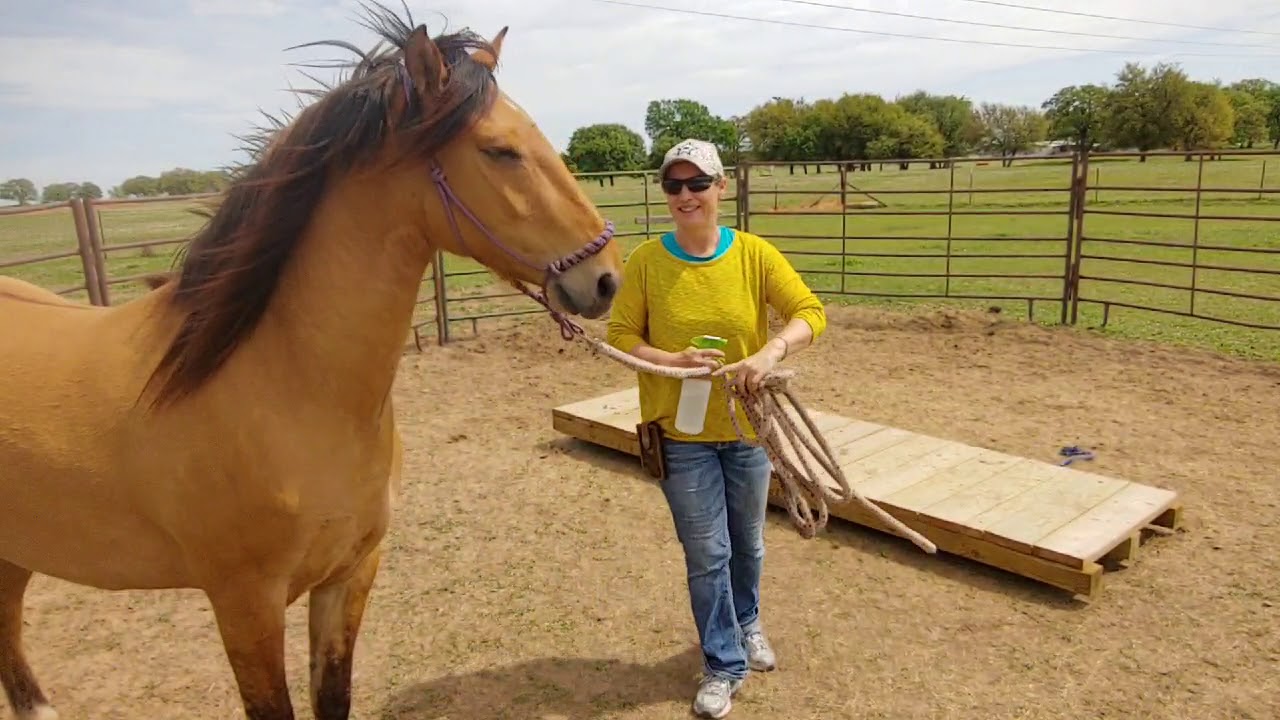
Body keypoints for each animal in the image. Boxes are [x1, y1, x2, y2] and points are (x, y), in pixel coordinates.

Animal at [0, 4, 622, 719]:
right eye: (500, 150)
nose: (606, 278)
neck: (284, 386)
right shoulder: (245, 606)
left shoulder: (348, 576)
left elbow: (334, 695)